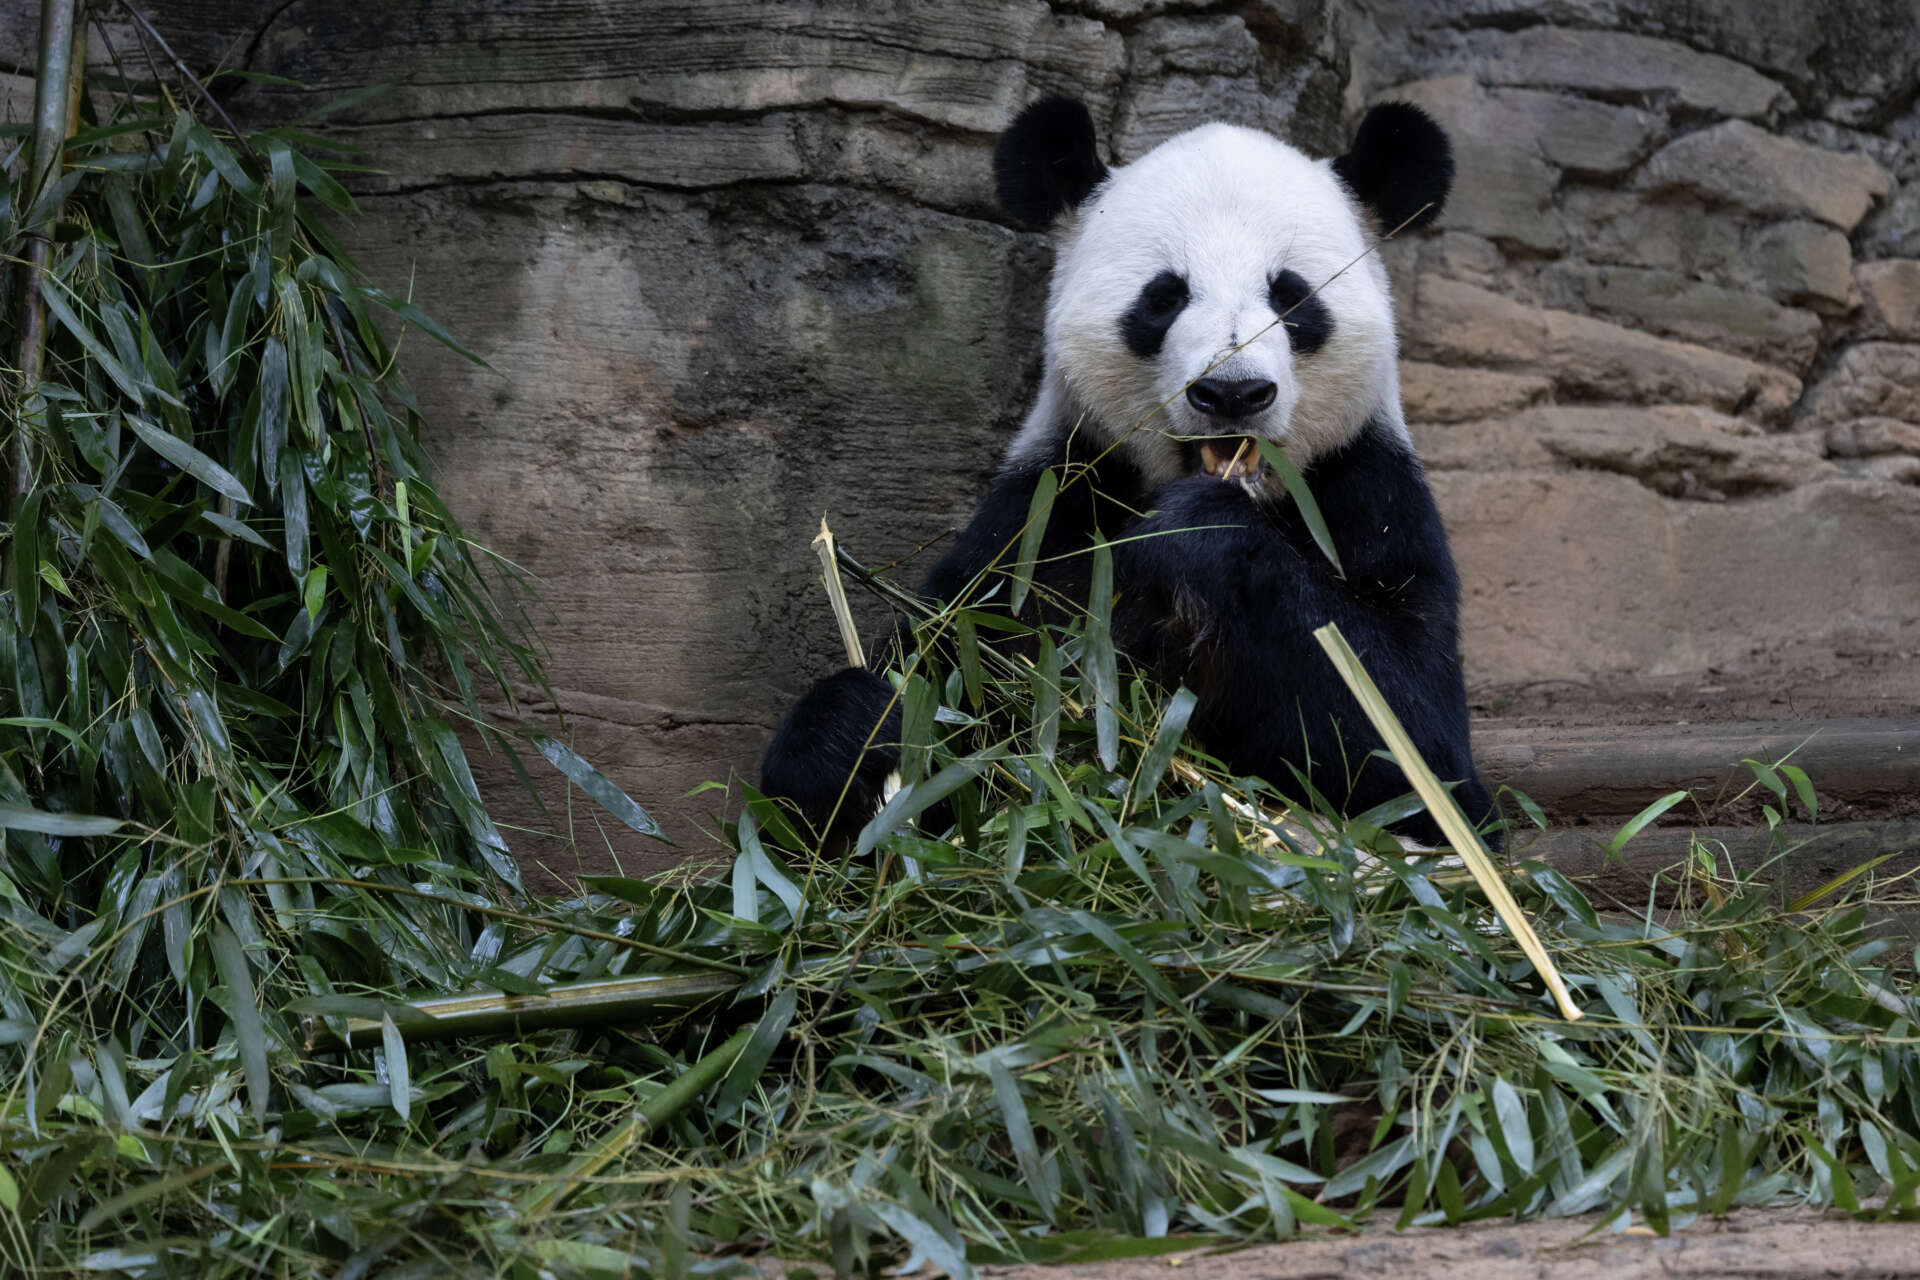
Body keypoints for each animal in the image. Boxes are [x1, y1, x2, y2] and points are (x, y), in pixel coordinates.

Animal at [759, 96, 1499, 850]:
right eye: (1164, 297)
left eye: (1291, 297)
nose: (1232, 393)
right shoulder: (1046, 518)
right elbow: (953, 680)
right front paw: (852, 737)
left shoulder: (1367, 492)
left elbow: (1417, 751)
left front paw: (1194, 532)